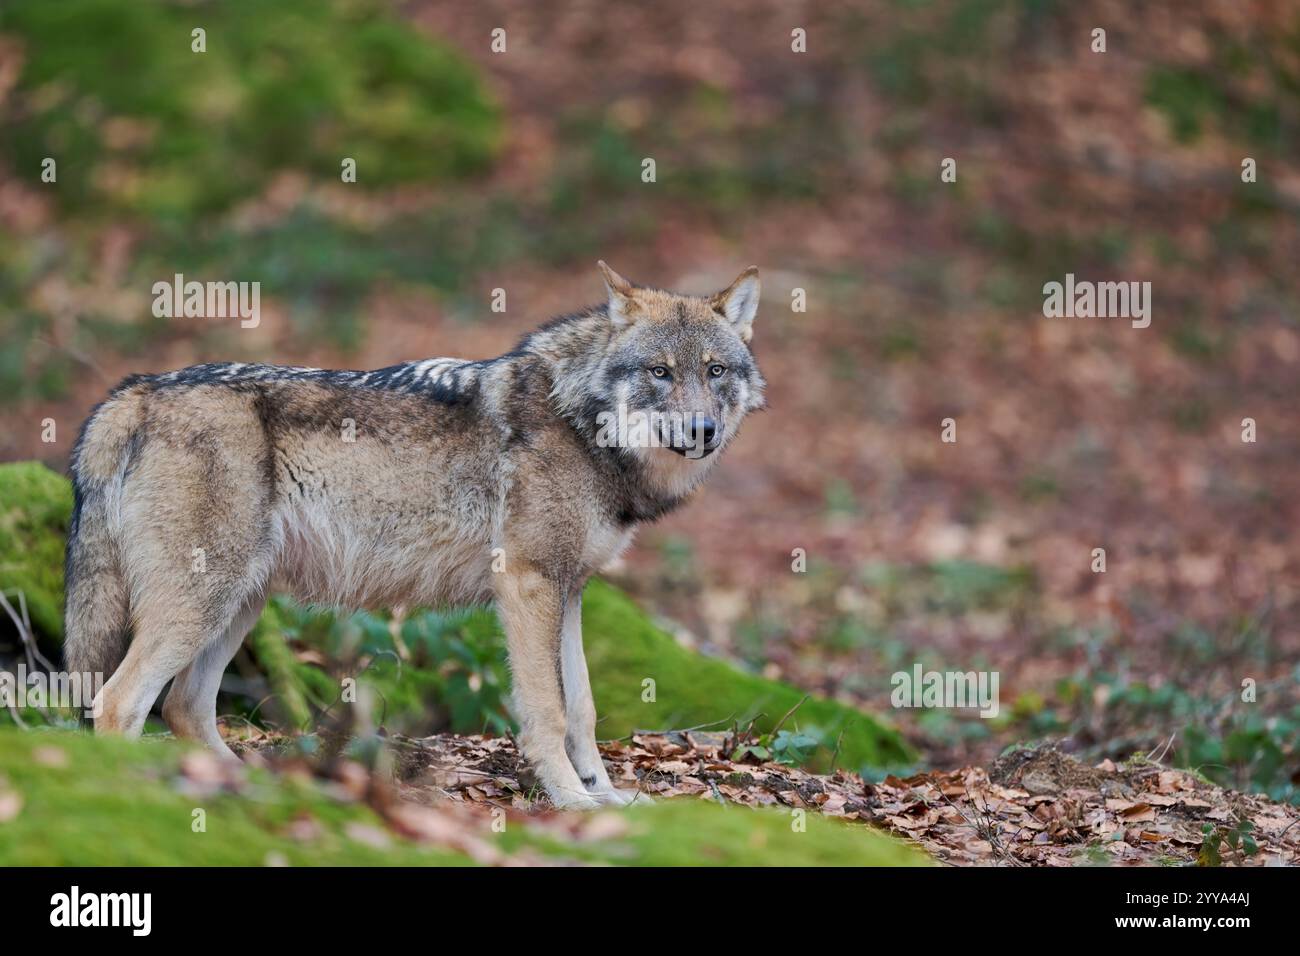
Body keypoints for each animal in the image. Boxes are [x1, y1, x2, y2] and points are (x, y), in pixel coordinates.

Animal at [64, 262, 765, 809]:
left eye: (715, 371)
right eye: (660, 373)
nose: (702, 430)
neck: (582, 422)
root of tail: (133, 392)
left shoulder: (569, 589)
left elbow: (584, 707)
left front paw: (606, 792)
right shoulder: (529, 584)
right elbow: (549, 710)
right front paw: (572, 800)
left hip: (240, 602)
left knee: (185, 708)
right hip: (205, 601)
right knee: (118, 703)